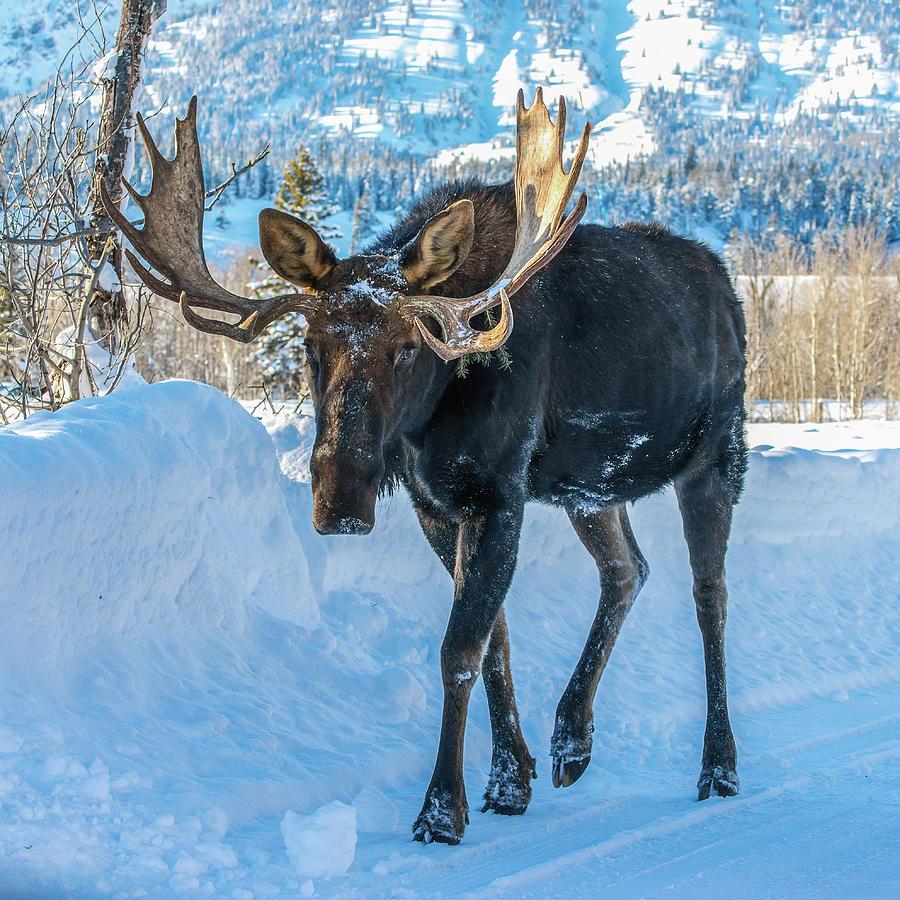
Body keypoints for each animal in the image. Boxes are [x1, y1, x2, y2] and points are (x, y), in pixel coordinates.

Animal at [102, 88, 748, 846]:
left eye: (409, 346)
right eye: (312, 345)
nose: (339, 499)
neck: (433, 414)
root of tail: (731, 291)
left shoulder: (499, 492)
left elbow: (459, 650)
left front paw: (443, 808)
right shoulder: (436, 502)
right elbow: (495, 640)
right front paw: (510, 779)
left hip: (716, 455)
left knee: (710, 598)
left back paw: (718, 767)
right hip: (590, 489)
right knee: (627, 570)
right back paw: (571, 738)